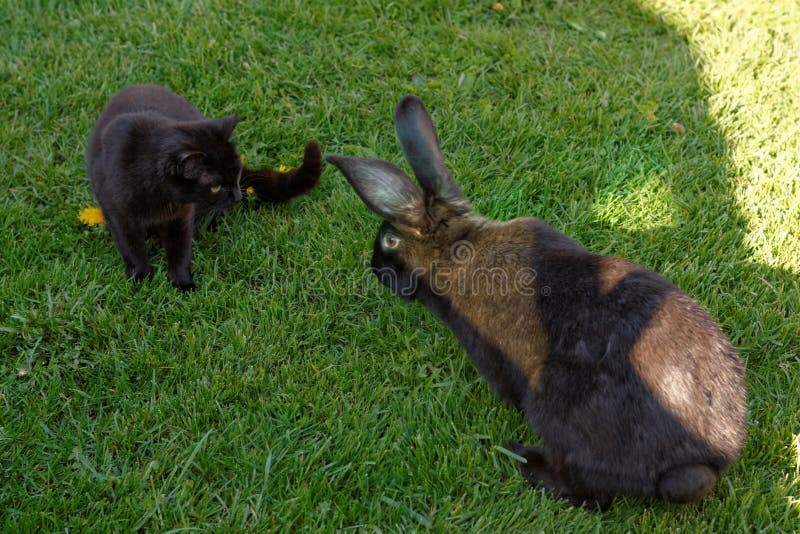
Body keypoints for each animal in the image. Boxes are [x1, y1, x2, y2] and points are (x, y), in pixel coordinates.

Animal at [324, 95, 747, 508]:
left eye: (389, 240)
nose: (375, 269)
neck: (455, 250)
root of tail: (700, 465)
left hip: (557, 407)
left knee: (589, 491)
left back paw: (524, 459)